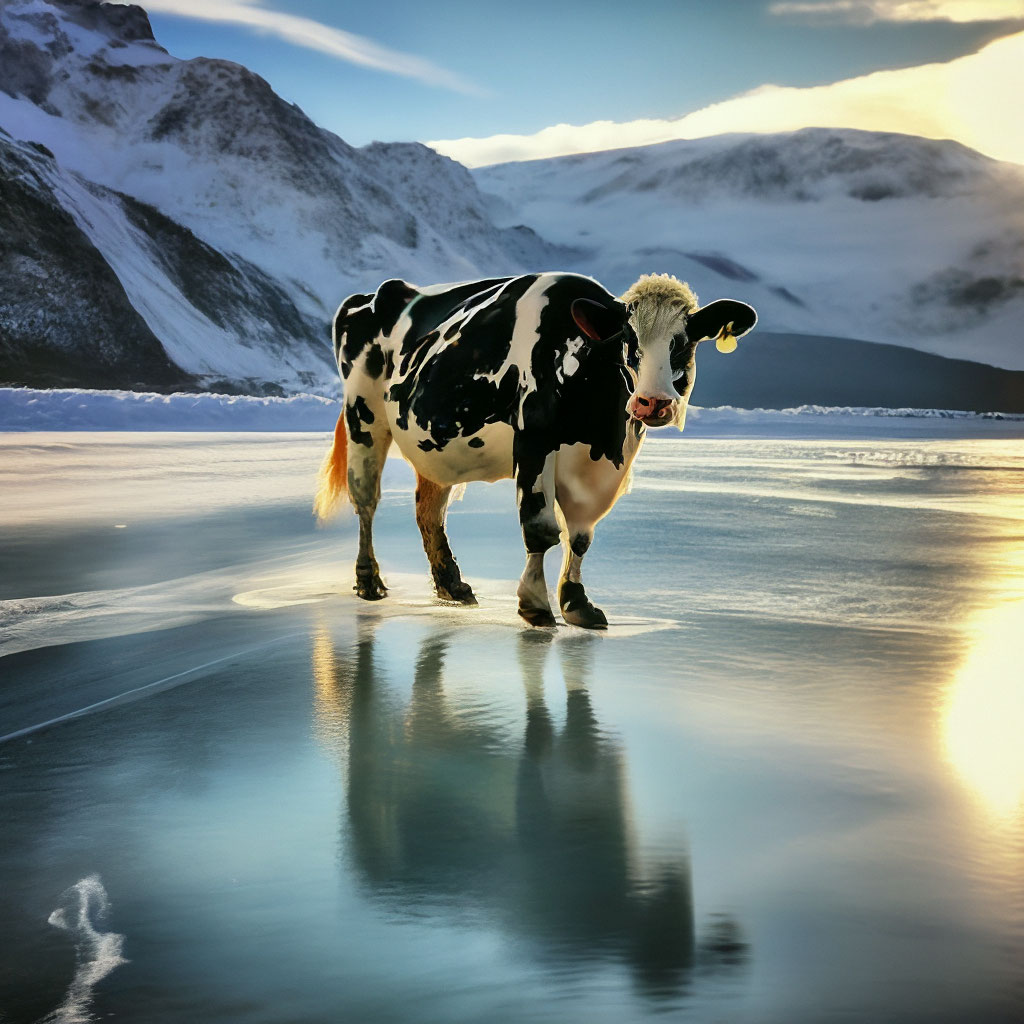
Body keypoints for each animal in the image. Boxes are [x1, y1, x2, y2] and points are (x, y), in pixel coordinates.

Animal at [315, 272, 756, 627]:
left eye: (686, 343)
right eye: (628, 341)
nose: (653, 403)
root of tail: (377, 293)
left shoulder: (602, 465)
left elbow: (581, 534)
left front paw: (577, 604)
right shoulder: (533, 437)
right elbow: (541, 528)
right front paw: (535, 605)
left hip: (433, 444)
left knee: (429, 511)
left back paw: (452, 586)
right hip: (364, 416)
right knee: (366, 498)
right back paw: (369, 580)